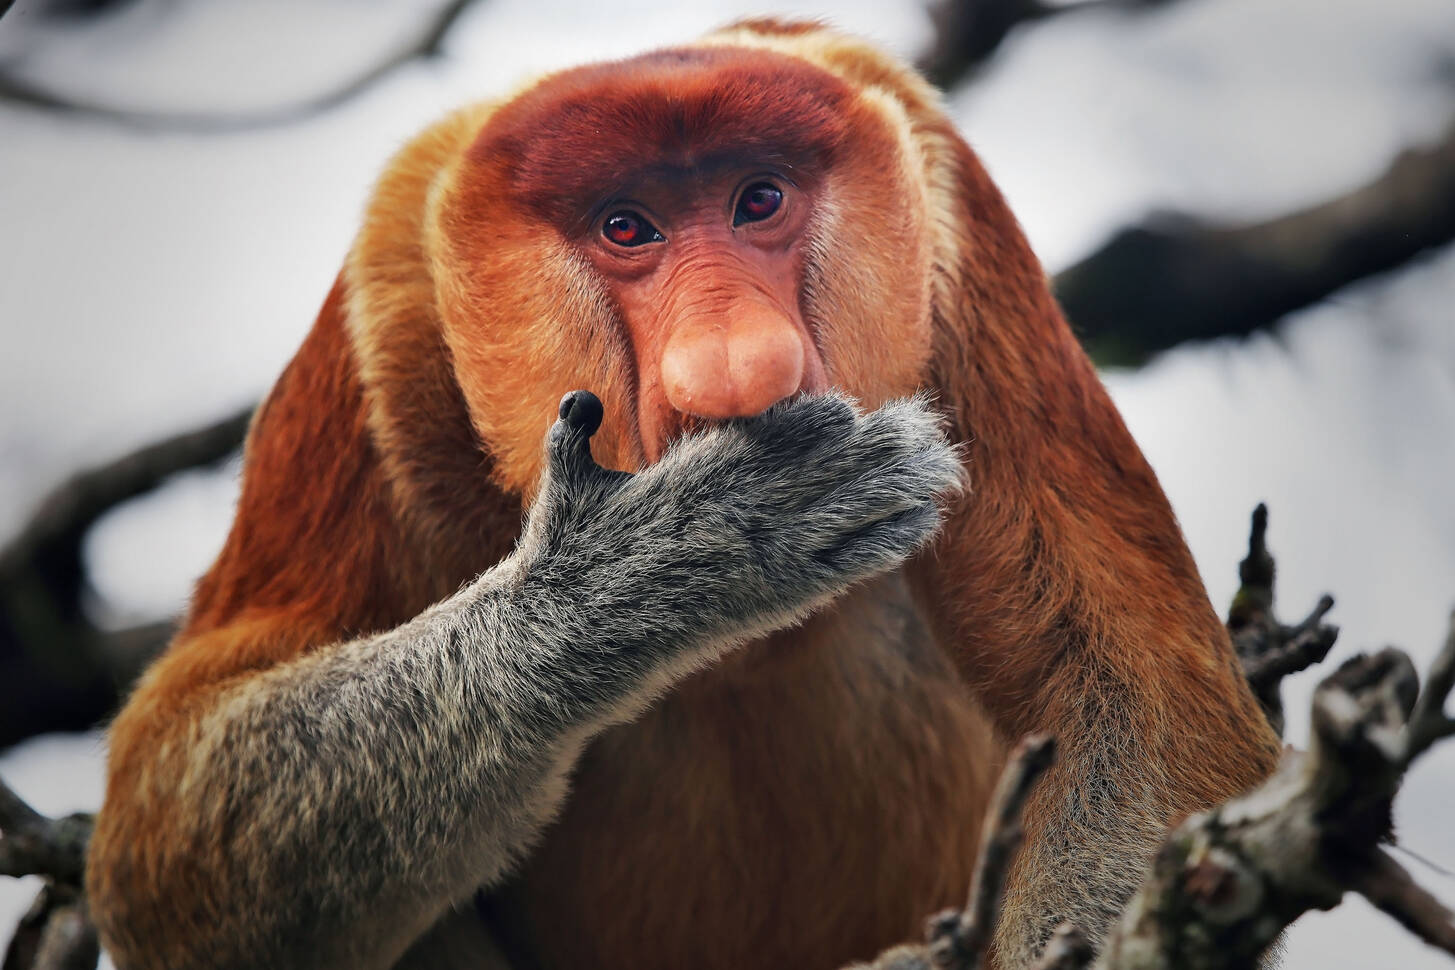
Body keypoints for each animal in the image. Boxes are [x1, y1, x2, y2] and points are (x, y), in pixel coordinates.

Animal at [84, 18, 1282, 970]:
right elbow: (165, 832)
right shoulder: (385, 315)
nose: (738, 368)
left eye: (760, 199)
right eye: (627, 227)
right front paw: (685, 553)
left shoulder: (953, 215)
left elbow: (1137, 711)